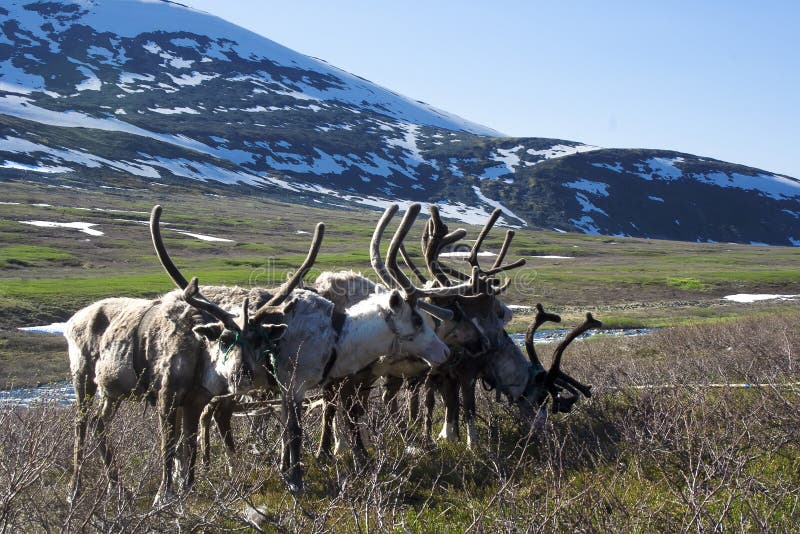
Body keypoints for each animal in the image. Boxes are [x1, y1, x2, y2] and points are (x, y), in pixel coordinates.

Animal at [65, 261, 289, 506]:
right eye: (224, 340)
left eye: (258, 341)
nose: (244, 375)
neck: (199, 351)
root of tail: (73, 319)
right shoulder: (167, 396)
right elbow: (168, 444)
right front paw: (163, 495)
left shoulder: (195, 401)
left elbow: (190, 445)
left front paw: (189, 489)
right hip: (83, 377)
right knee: (80, 424)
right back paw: (74, 490)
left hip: (113, 391)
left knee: (98, 421)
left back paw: (118, 487)